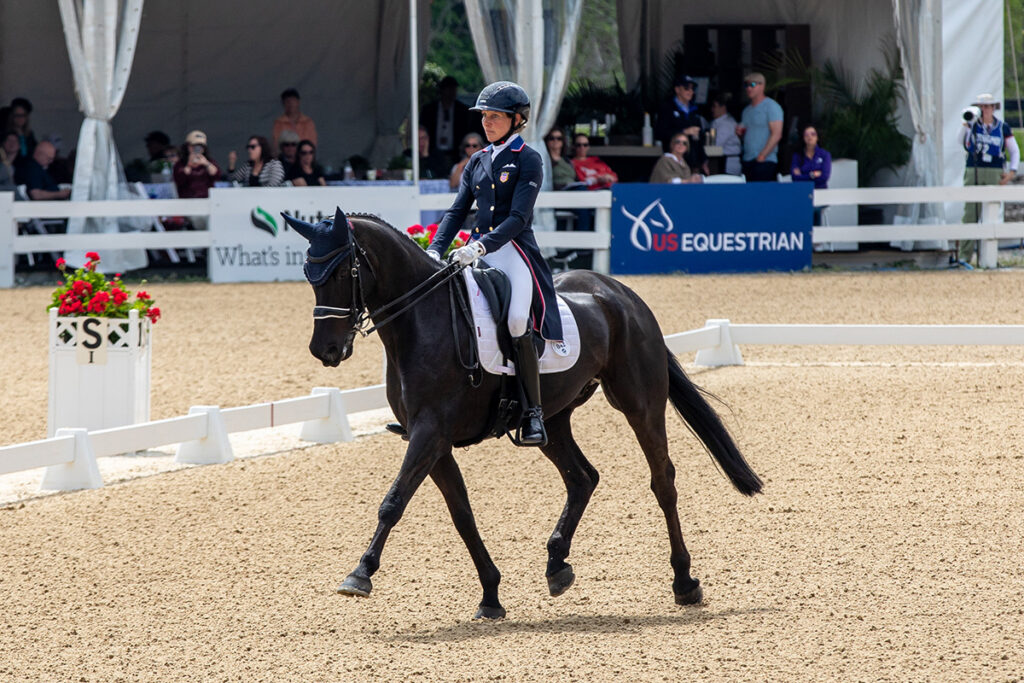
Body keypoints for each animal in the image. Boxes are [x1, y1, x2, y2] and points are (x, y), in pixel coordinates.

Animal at [284, 207, 762, 620]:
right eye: (308, 275)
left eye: (342, 272)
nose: (326, 351)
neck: (422, 320)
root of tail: (620, 293)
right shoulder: (434, 441)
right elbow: (462, 516)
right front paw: (491, 596)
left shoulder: (430, 433)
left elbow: (393, 502)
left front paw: (359, 574)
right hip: (552, 418)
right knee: (582, 478)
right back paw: (557, 566)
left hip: (639, 403)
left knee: (662, 479)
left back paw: (684, 582)